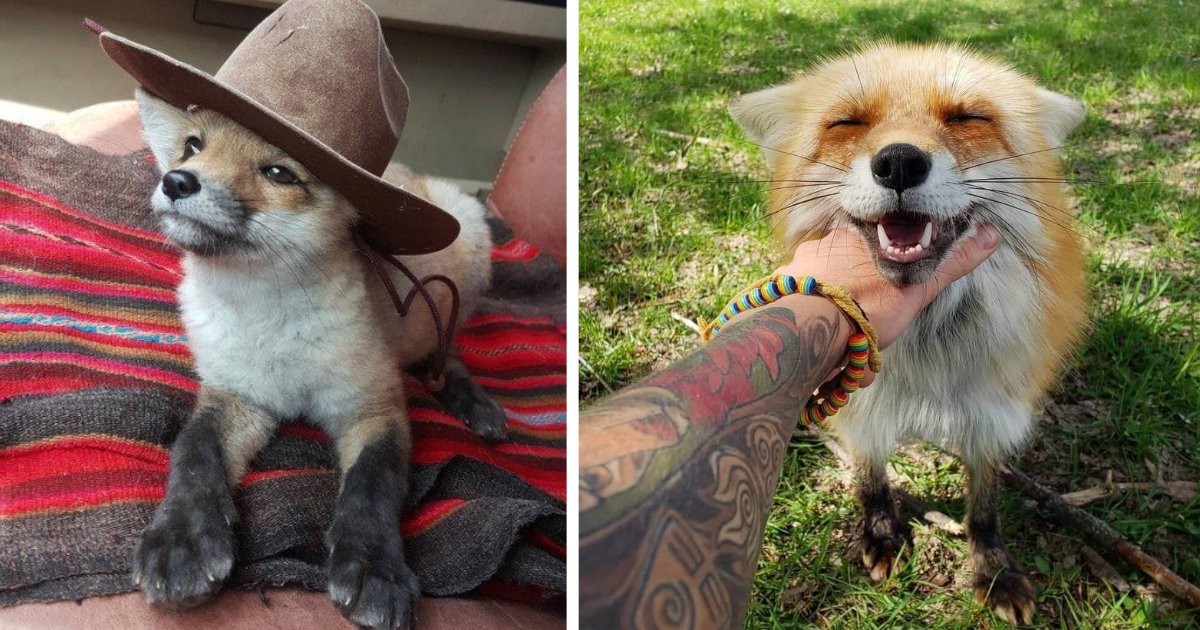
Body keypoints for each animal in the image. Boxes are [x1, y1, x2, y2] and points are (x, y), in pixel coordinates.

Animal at [129, 87, 507, 630]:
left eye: (280, 173)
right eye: (192, 147)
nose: (177, 181)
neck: (271, 331)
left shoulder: (374, 406)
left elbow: (372, 486)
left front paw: (373, 567)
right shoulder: (236, 395)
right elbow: (193, 454)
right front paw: (181, 538)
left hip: (469, 266)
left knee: (448, 354)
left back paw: (473, 404)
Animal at [730, 43, 1088, 624]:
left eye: (968, 117)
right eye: (848, 122)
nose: (899, 161)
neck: (928, 348)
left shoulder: (991, 410)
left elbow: (984, 505)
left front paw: (992, 569)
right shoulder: (861, 401)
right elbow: (871, 475)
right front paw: (880, 534)